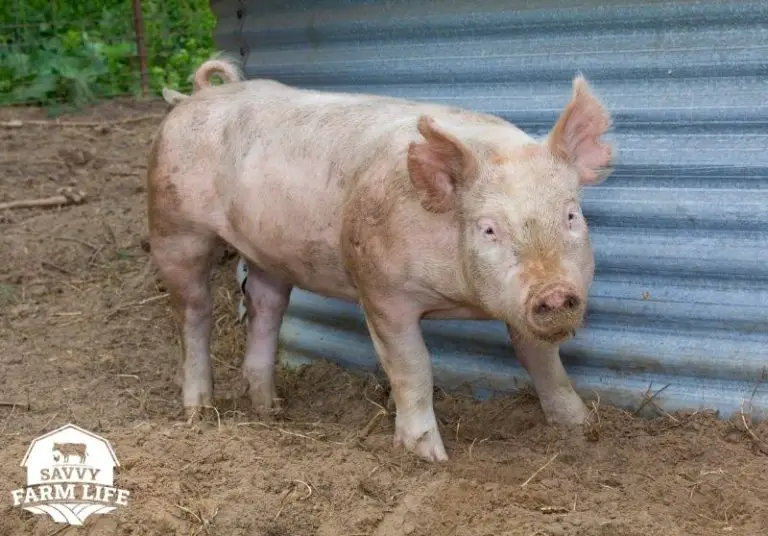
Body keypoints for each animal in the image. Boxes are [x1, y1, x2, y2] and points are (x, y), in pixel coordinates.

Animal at [147, 57, 613, 462]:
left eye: (571, 215)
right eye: (488, 229)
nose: (553, 292)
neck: (462, 301)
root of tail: (198, 95)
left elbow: (542, 361)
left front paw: (582, 428)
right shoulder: (381, 290)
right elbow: (414, 368)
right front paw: (430, 457)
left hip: (268, 252)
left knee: (266, 308)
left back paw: (270, 410)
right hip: (175, 229)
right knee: (194, 313)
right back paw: (199, 413)